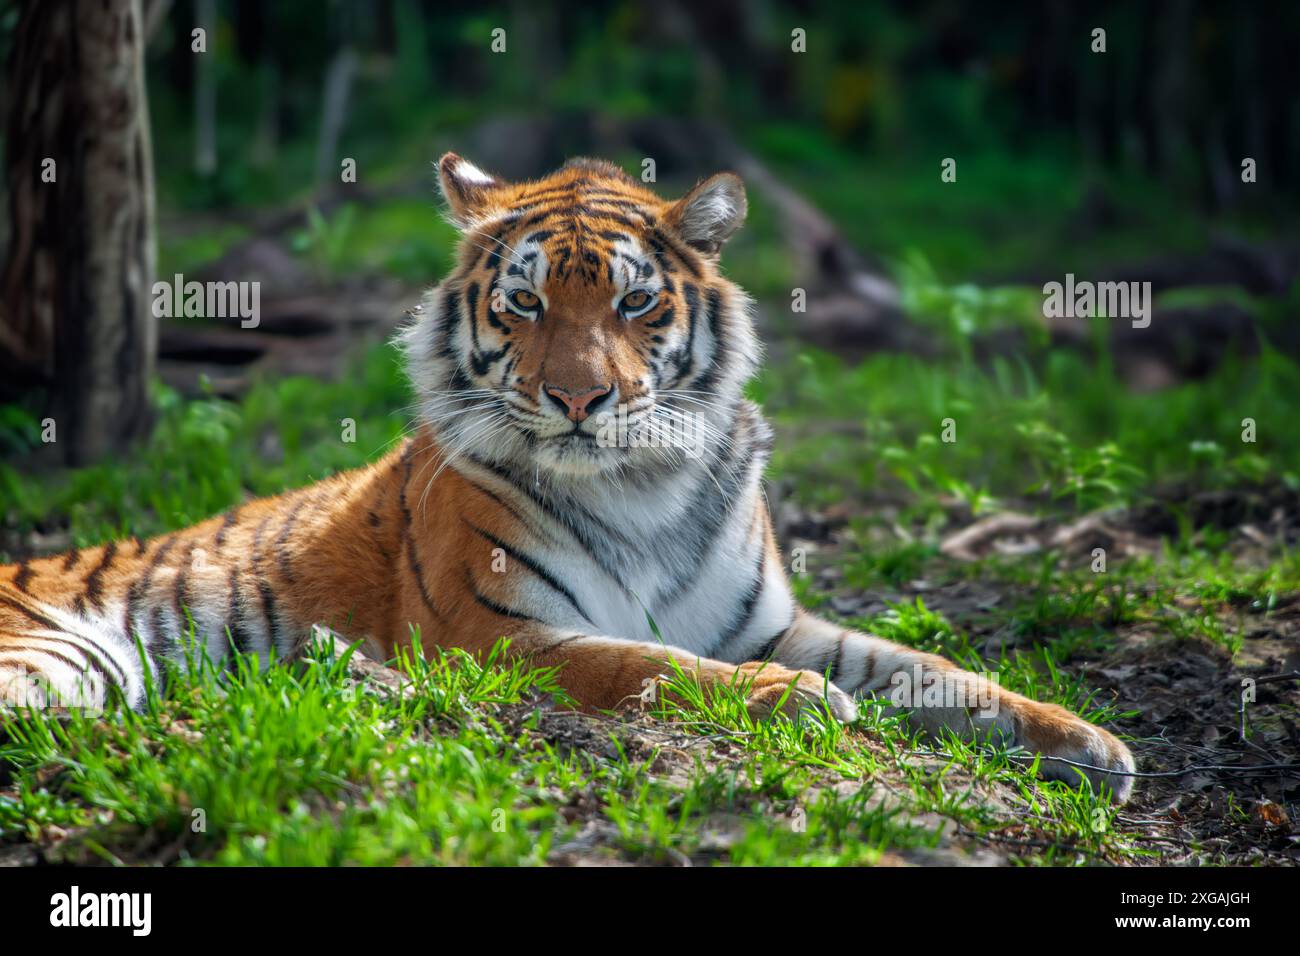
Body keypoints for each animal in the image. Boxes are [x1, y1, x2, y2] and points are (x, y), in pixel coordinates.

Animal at [0, 153, 1135, 802]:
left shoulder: (765, 620)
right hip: (61, 661)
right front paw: (793, 701)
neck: (644, 485)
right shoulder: (496, 633)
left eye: (634, 303)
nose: (581, 398)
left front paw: (1086, 740)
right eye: (525, 303)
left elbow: (925, 666)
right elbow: (649, 665)